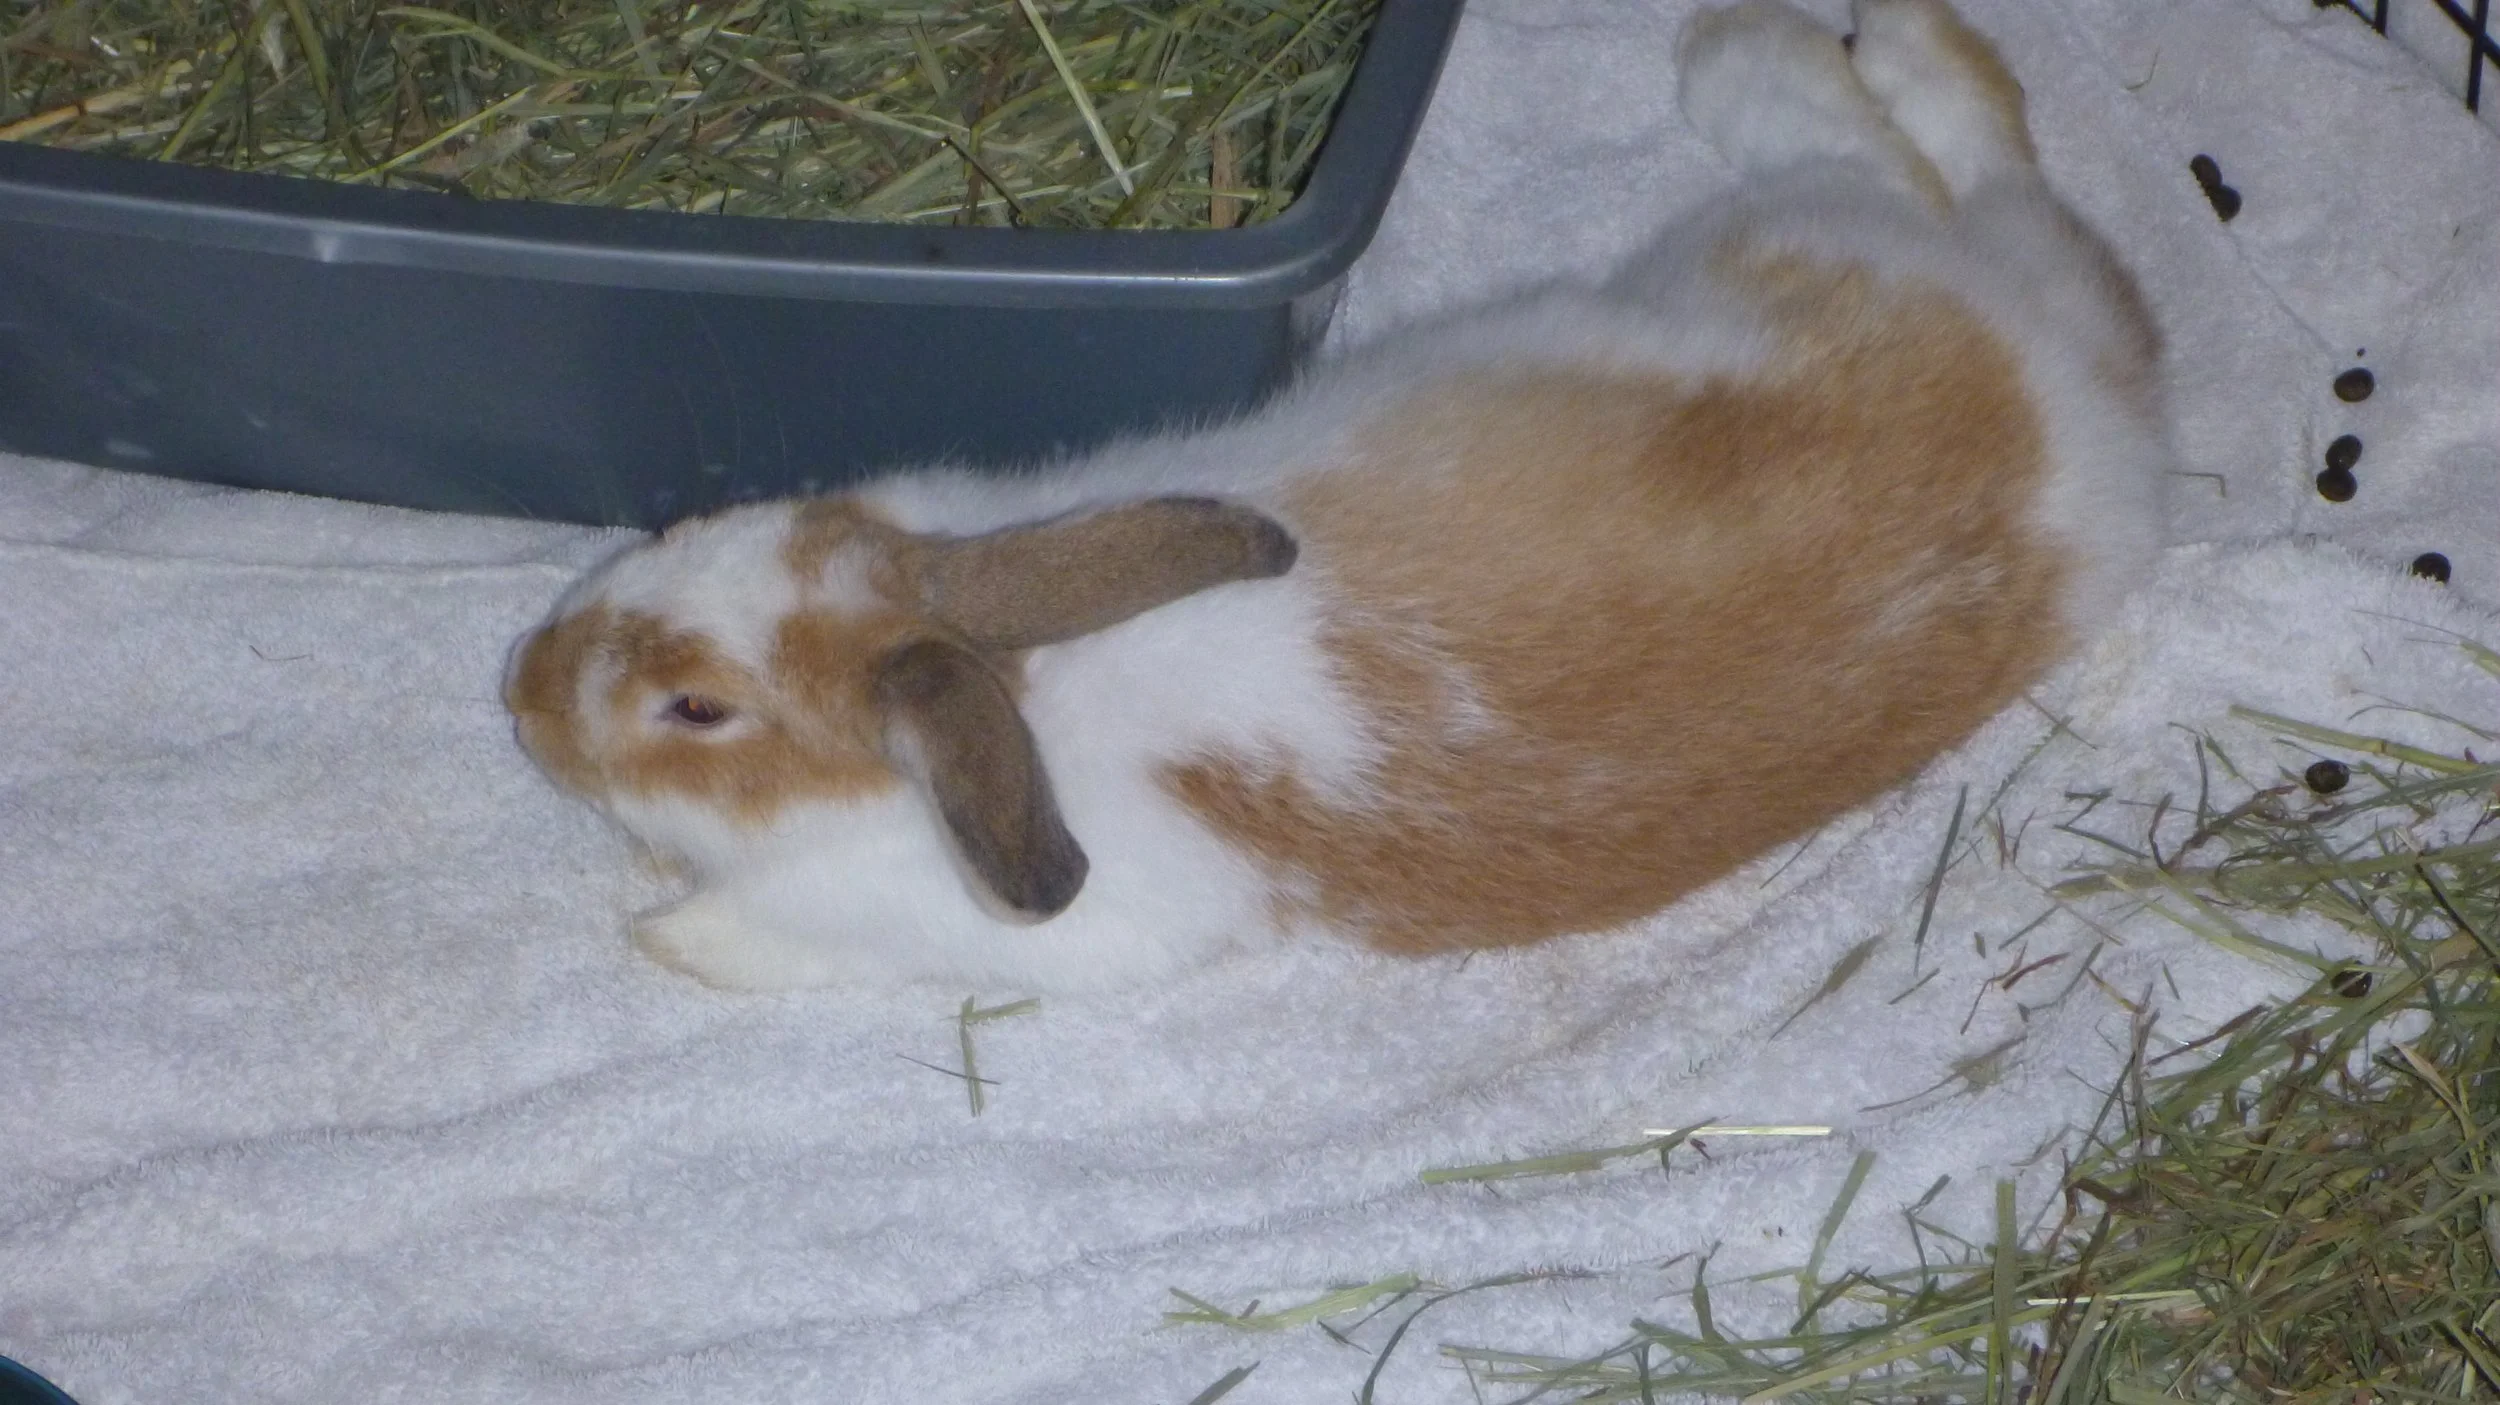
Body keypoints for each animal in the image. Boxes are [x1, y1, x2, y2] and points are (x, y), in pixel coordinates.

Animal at [505, 0, 2171, 992]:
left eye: (697, 711)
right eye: (681, 535)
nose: (520, 692)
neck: (1020, 688)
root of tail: (2089, 403)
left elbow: (717, 937)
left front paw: (657, 923)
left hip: (1782, 234)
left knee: (1903, 150)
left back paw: (1770, 42)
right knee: (1999, 169)